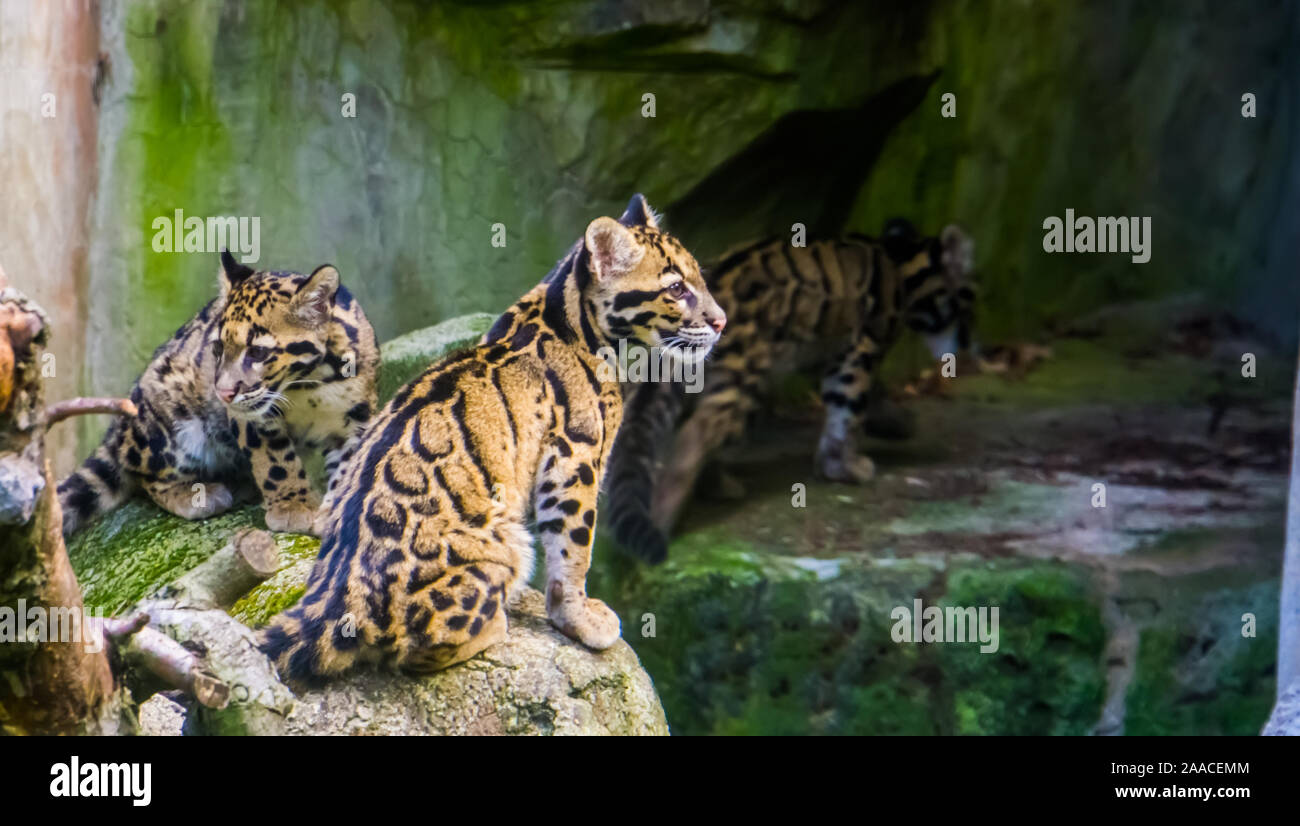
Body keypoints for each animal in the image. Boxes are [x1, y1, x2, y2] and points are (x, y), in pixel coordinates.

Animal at [58, 252, 379, 535]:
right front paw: (294, 509)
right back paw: (199, 495)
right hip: (169, 426)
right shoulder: (252, 419)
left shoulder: (356, 420)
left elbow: (351, 465)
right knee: (148, 477)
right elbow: (276, 463)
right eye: (217, 348)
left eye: (258, 352)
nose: (223, 393)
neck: (309, 383)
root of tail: (118, 432)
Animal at [258, 197, 728, 681]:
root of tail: (337, 601)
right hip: (508, 545)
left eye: (698, 279)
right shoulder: (574, 457)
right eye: (676, 288)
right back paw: (494, 625)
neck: (565, 310)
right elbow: (574, 547)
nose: (721, 321)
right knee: (413, 654)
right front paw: (581, 619)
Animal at [605, 219, 977, 561]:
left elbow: (870, 398)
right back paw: (664, 514)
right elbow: (849, 411)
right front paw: (845, 467)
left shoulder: (830, 352)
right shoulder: (860, 351)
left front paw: (897, 423)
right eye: (970, 299)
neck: (901, 260)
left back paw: (713, 485)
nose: (972, 346)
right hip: (744, 378)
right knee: (698, 432)